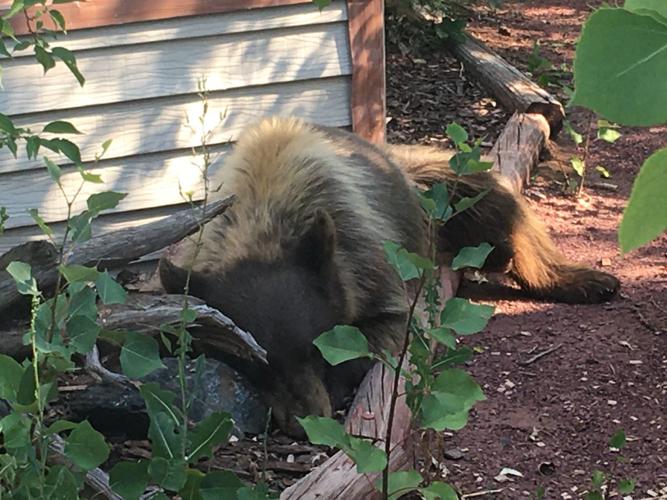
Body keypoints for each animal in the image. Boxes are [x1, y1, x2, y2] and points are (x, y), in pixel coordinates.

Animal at [160, 117, 619, 437]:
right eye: (256, 364)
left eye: (315, 347)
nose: (305, 423)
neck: (264, 219)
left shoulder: (367, 261)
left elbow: (383, 332)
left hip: (440, 187)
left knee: (499, 206)